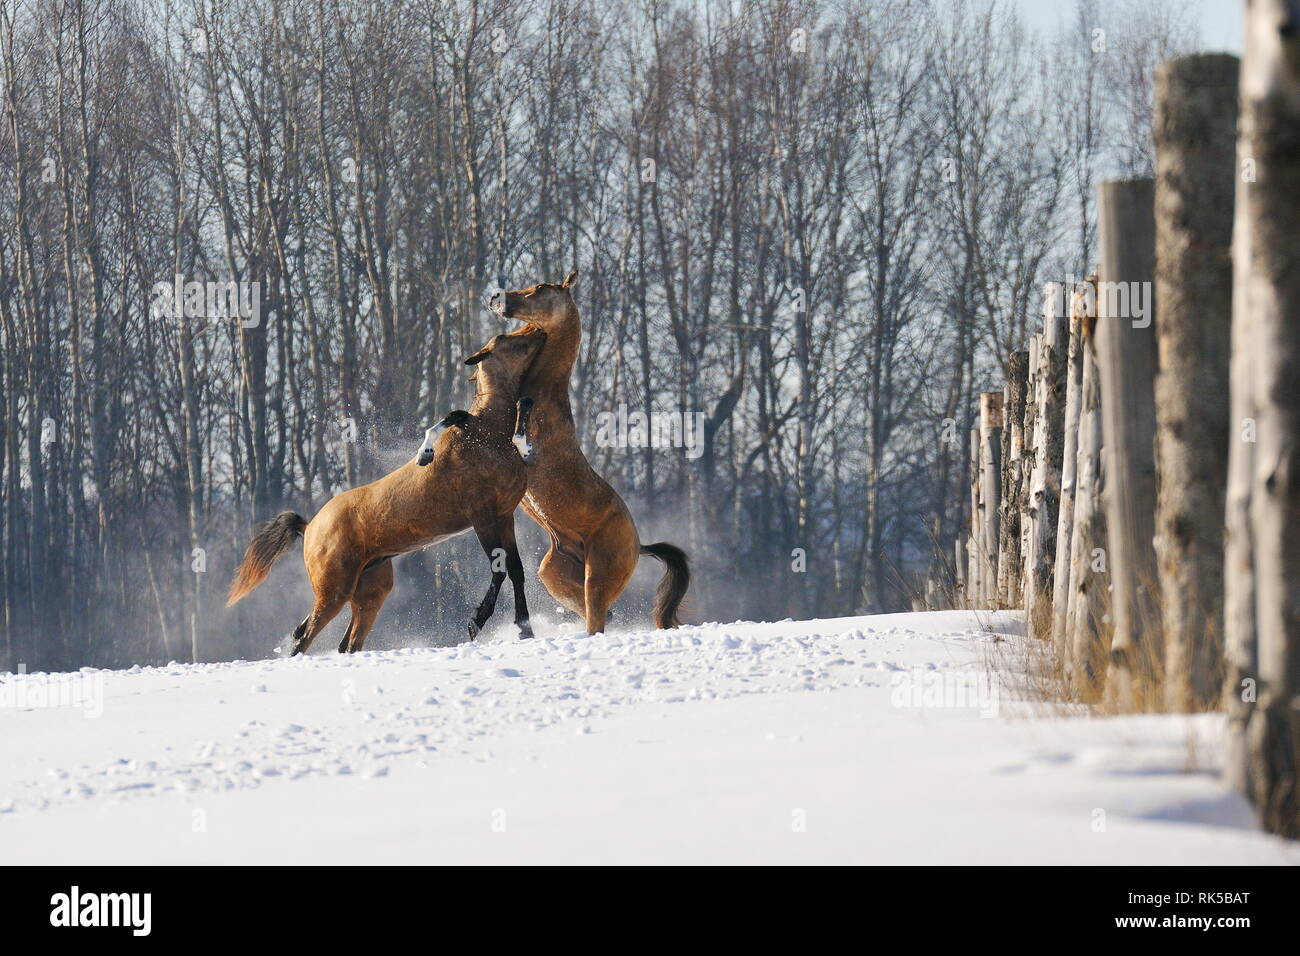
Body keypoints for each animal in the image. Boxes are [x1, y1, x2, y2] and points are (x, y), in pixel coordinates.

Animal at [225, 332, 546, 654]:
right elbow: (499, 569)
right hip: (334, 592)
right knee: (306, 636)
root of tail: (310, 526)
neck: (488, 434)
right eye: (506, 339)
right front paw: (476, 621)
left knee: (343, 642)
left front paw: (525, 629)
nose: (539, 332)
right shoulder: (483, 516)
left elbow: (516, 570)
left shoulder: (504, 516)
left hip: (369, 593)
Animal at [491, 270, 690, 635]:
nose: (497, 296)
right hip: (555, 570)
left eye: (539, 289)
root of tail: (638, 545)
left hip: (597, 577)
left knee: (597, 616)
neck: (545, 392)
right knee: (596, 611)